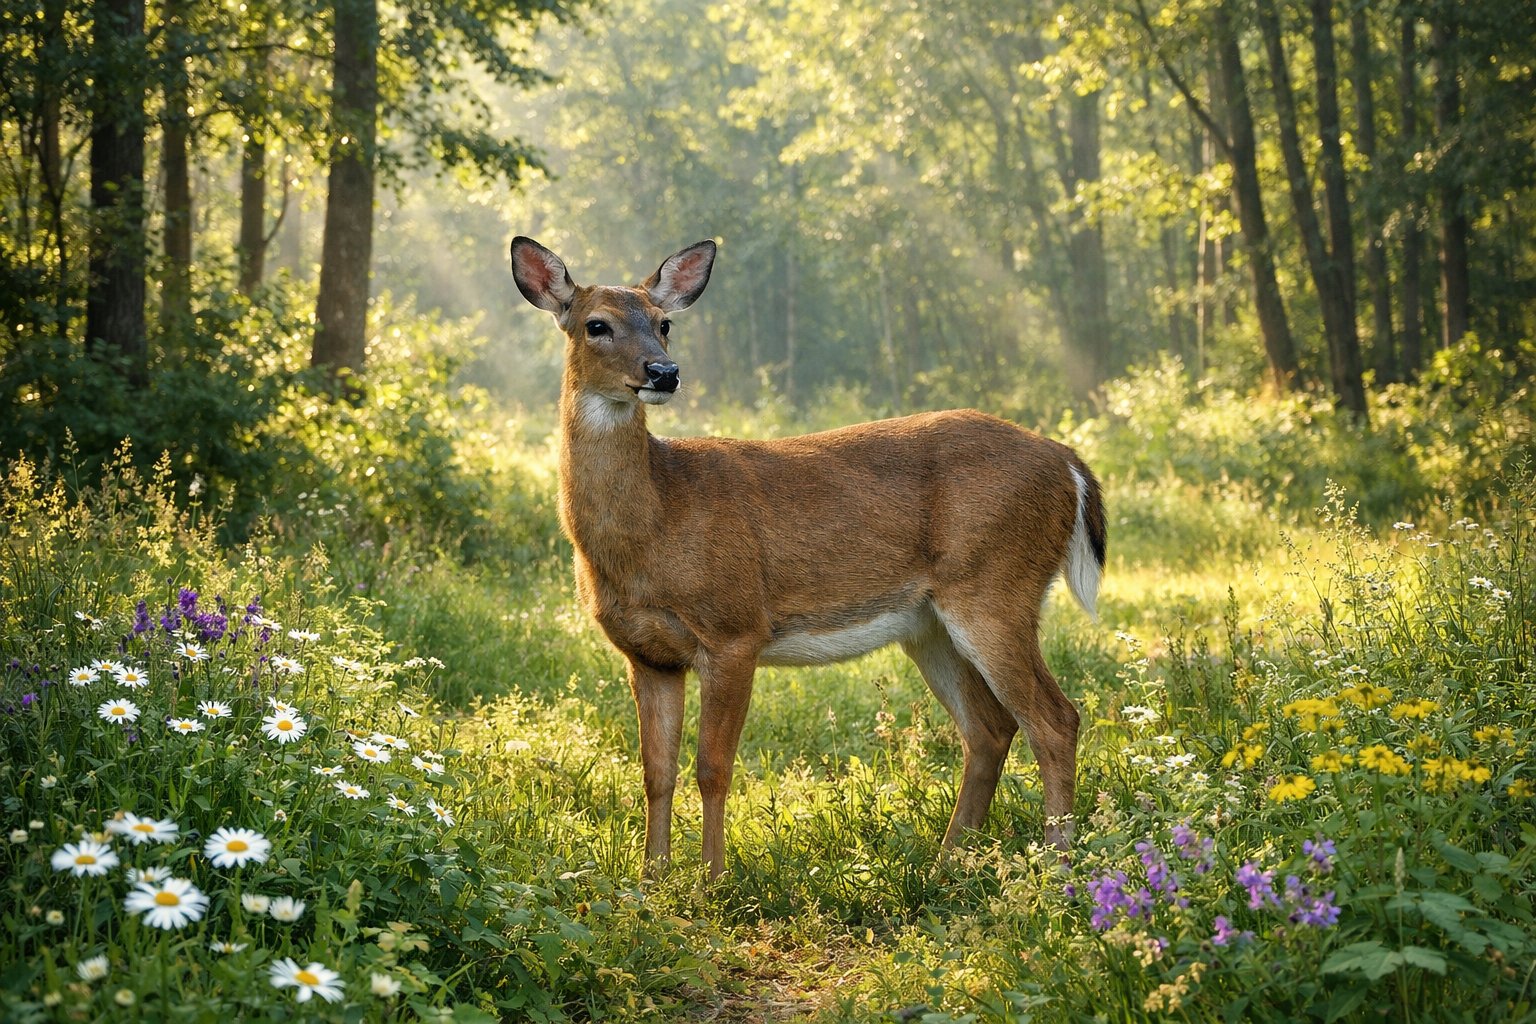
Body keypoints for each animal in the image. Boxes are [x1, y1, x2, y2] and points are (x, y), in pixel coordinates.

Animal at [510, 236, 1107, 879]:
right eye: (596, 324)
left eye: (664, 323)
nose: (663, 373)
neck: (656, 520)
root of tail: (1067, 461)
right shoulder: (648, 654)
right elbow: (655, 773)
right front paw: (651, 881)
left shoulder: (735, 628)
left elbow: (712, 769)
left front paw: (712, 882)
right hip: (929, 624)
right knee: (990, 729)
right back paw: (947, 866)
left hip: (996, 587)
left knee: (1055, 719)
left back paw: (1057, 869)